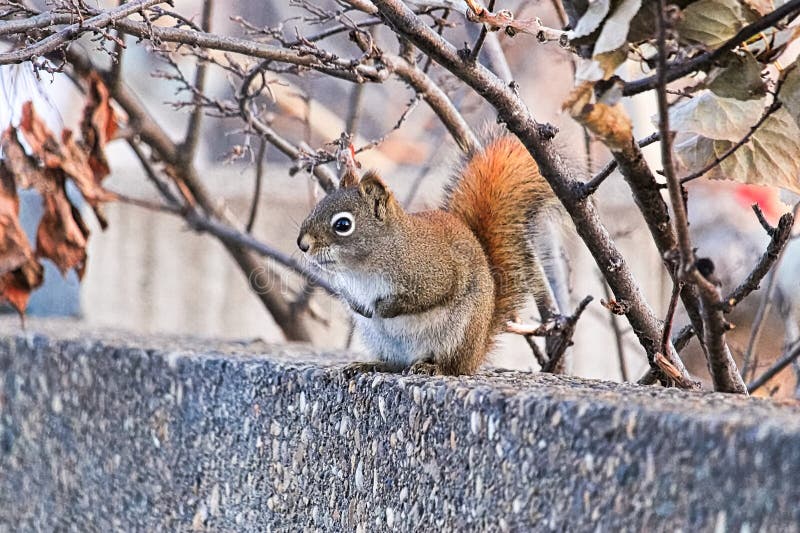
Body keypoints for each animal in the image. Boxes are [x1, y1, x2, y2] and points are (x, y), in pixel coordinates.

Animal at [297, 135, 554, 375]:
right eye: (317, 207)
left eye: (343, 225)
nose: (302, 244)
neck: (362, 267)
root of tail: (477, 351)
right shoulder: (348, 285)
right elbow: (351, 298)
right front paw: (362, 308)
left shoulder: (435, 275)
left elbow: (421, 297)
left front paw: (384, 309)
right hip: (381, 341)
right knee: (395, 363)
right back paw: (371, 365)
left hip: (457, 336)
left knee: (452, 367)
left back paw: (432, 367)